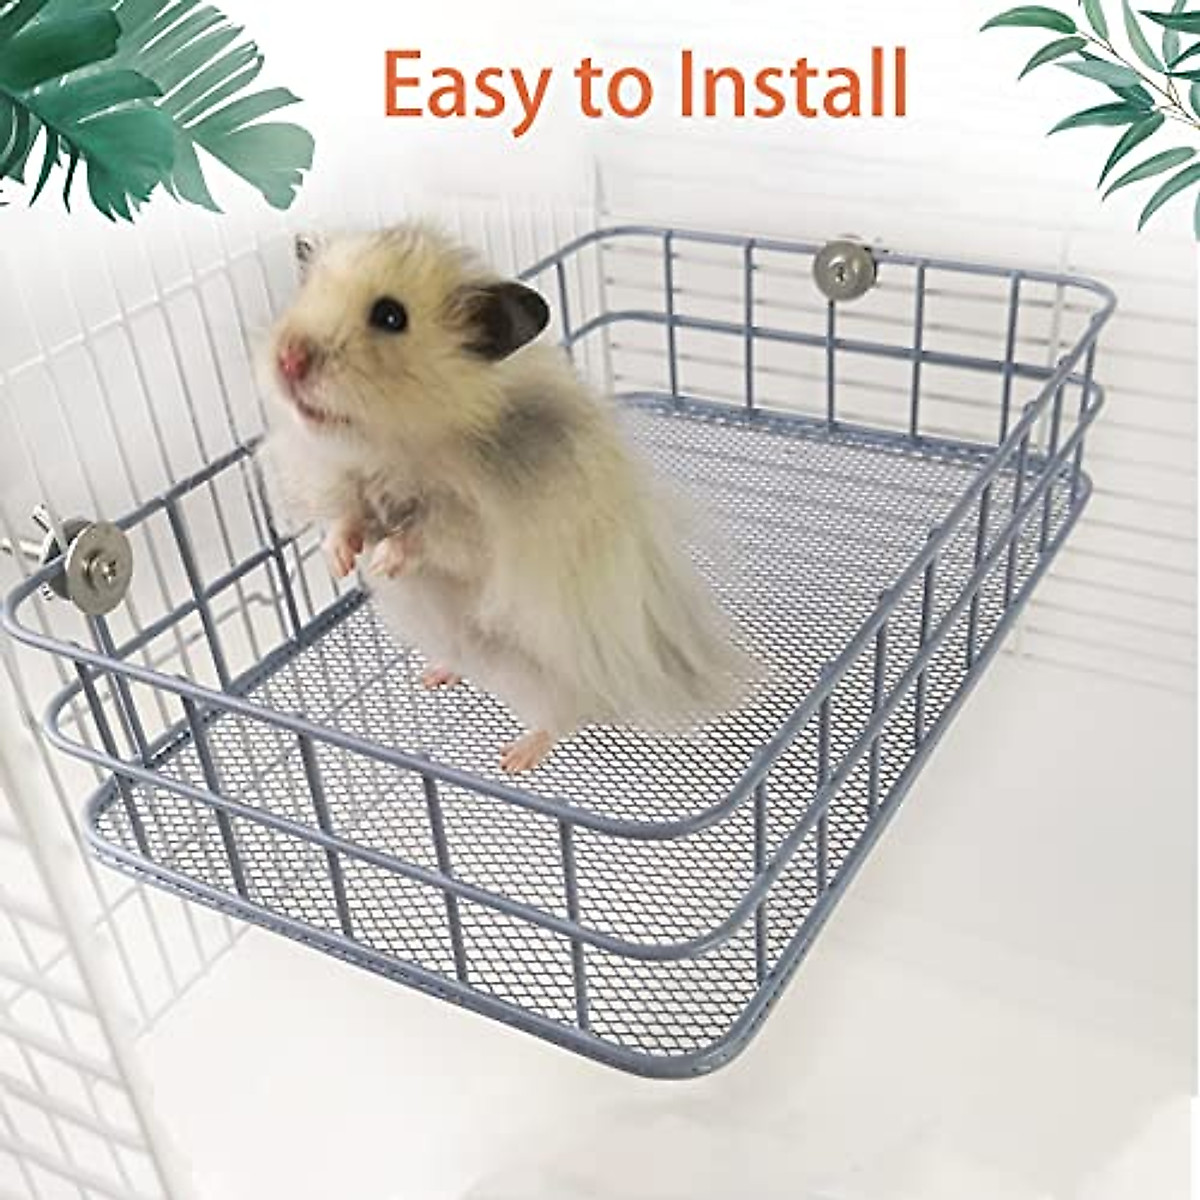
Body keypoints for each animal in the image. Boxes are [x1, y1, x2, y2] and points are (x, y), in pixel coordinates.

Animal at [260, 223, 756, 773]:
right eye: (306, 290)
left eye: (391, 316)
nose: (287, 359)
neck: (389, 445)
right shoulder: (345, 482)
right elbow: (347, 519)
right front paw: (341, 562)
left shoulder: (471, 529)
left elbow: (428, 538)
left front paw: (386, 560)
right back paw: (434, 676)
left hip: (548, 678)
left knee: (562, 718)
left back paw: (513, 758)